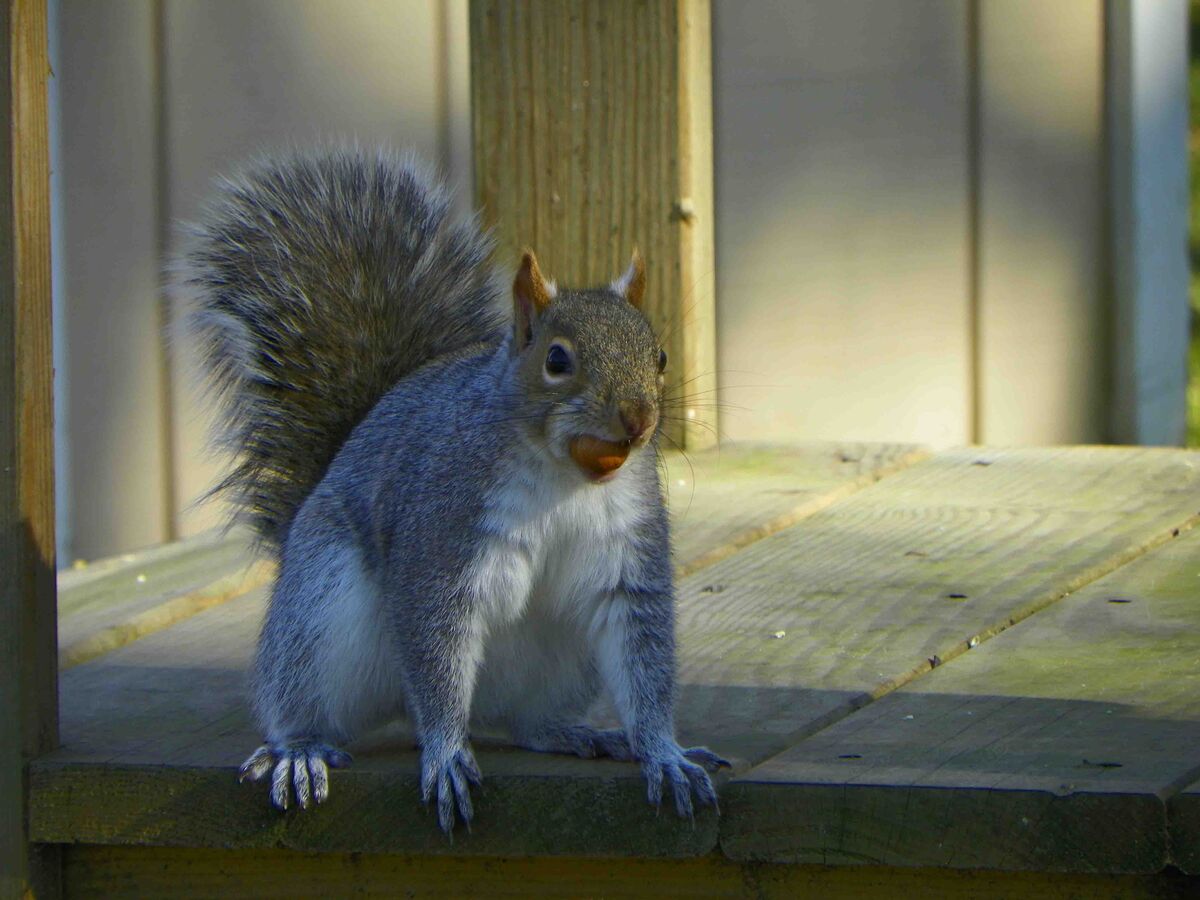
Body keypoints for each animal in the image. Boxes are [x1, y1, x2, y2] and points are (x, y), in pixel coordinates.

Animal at [180, 147, 728, 834]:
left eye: (658, 357)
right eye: (556, 360)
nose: (639, 418)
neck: (564, 476)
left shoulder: (629, 548)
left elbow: (644, 653)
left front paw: (662, 751)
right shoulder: (442, 534)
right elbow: (435, 641)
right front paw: (445, 755)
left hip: (560, 659)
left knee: (525, 723)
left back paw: (583, 734)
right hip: (322, 608)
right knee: (307, 697)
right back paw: (300, 751)